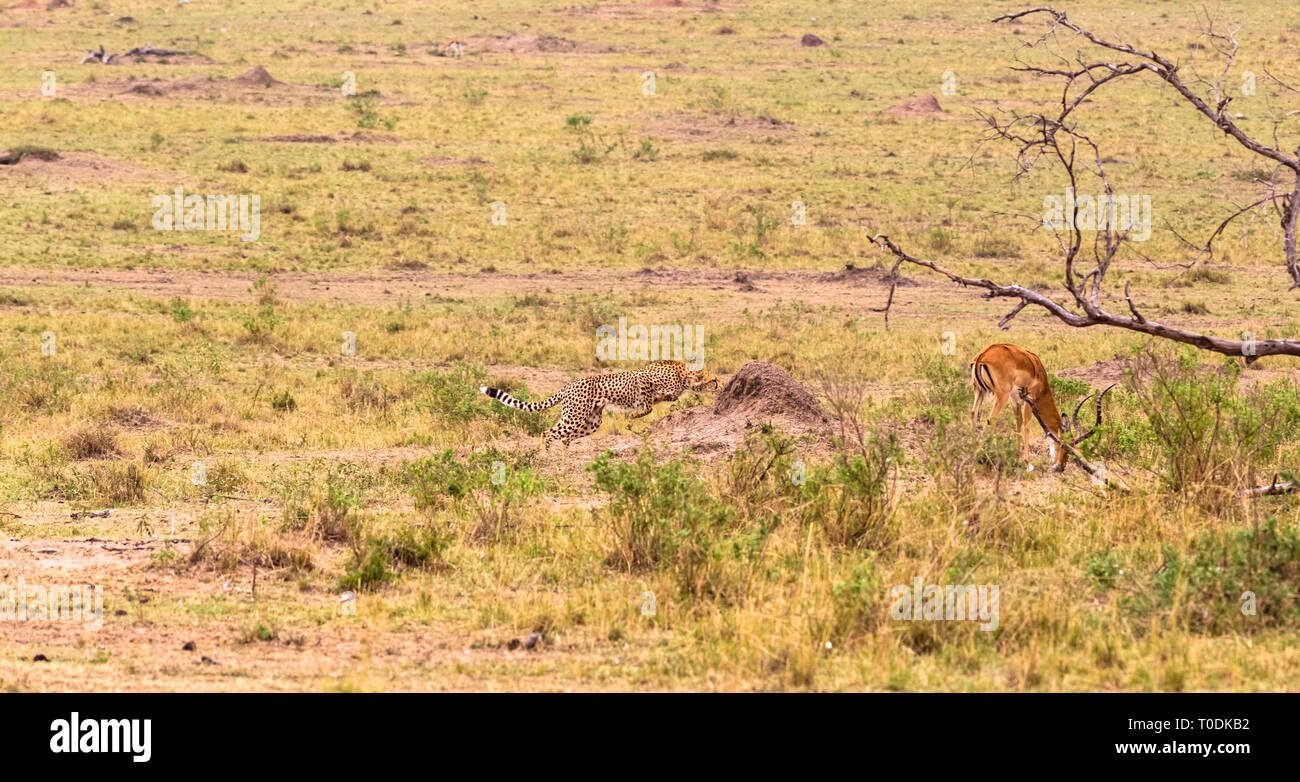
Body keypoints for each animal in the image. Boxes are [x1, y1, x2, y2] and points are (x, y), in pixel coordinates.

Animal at [480, 361, 719, 449]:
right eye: (715, 380)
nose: (721, 386)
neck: (685, 376)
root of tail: (569, 384)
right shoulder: (642, 378)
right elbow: (648, 404)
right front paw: (633, 416)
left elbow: (664, 400)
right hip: (575, 417)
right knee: (547, 432)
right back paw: (546, 454)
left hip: (591, 421)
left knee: (565, 437)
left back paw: (565, 457)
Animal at [969, 343, 1113, 472]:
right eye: (1066, 448)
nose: (1060, 468)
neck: (1039, 373)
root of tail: (982, 356)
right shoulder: (1029, 399)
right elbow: (1027, 426)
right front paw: (1028, 464)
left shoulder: (1015, 400)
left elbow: (1019, 423)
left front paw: (1017, 456)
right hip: (1001, 395)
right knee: (991, 419)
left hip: (979, 391)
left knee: (973, 414)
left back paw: (975, 455)